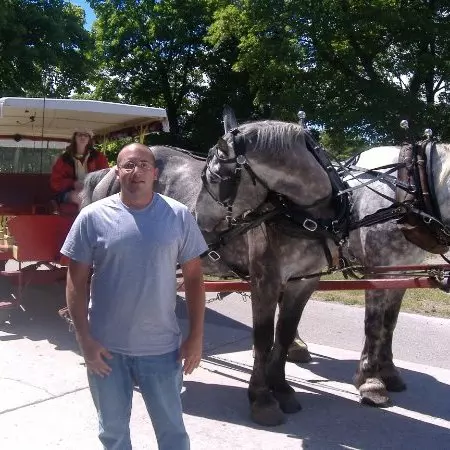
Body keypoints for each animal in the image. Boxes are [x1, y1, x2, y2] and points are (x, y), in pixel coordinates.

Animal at [81, 116, 450, 426]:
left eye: (215, 177)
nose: (195, 223)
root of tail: (110, 171)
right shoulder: (269, 280)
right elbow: (265, 337)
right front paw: (264, 398)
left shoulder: (309, 280)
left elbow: (289, 334)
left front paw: (283, 387)